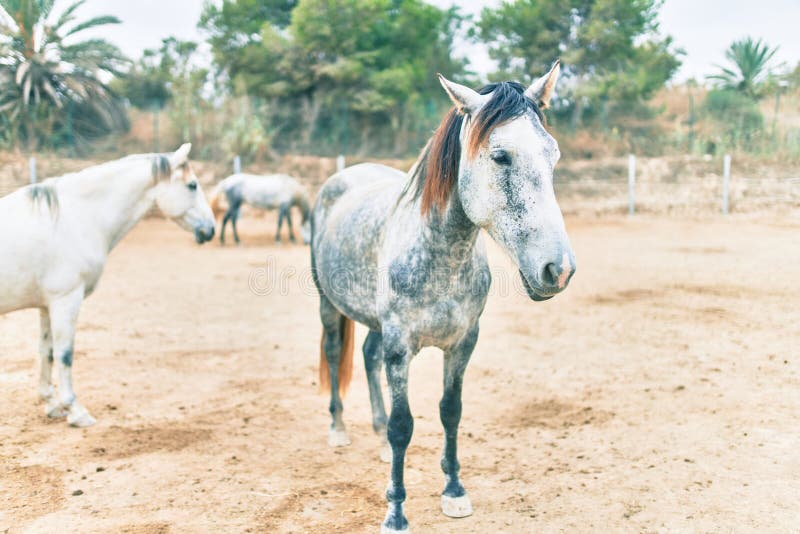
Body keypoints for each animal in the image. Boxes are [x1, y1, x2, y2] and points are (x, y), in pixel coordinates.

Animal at [0, 143, 215, 427]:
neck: (74, 218)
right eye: (192, 185)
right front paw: (76, 411)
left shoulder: (47, 305)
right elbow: (65, 354)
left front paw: (52, 404)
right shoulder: (66, 300)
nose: (211, 229)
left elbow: (47, 351)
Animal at [310, 61, 575, 533]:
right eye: (501, 156)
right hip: (329, 305)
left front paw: (454, 491)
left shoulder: (463, 342)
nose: (557, 269)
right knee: (335, 351)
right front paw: (396, 511)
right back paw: (338, 429)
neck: (442, 259)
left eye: (553, 154)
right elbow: (404, 426)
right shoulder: (401, 346)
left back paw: (375, 433)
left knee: (367, 355)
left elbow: (450, 411)